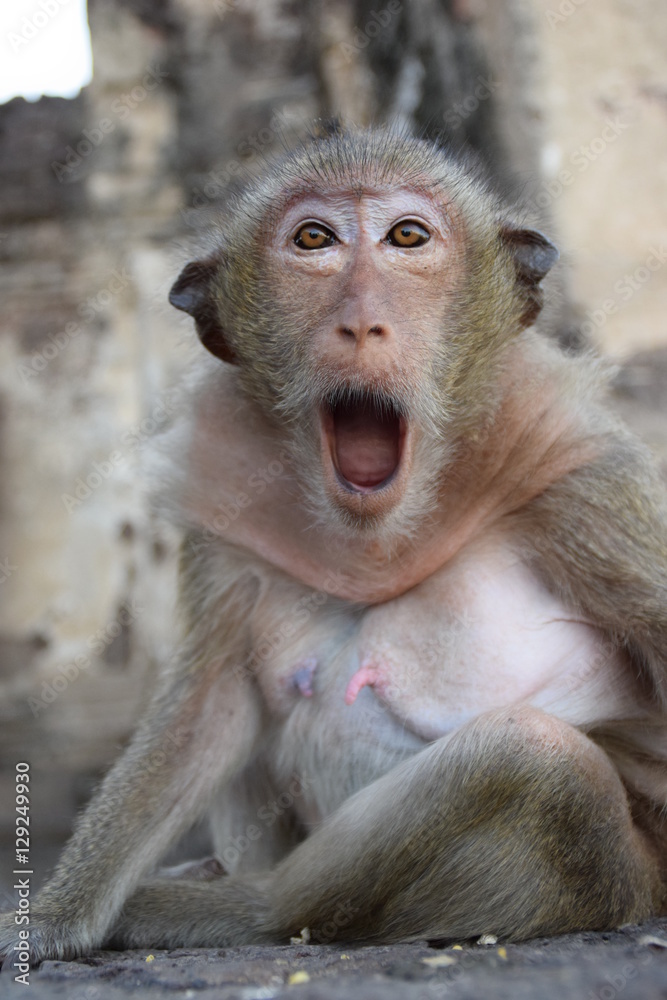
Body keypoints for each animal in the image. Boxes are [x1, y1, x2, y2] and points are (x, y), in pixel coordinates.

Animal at [1, 127, 666, 966]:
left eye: (406, 238)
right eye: (313, 240)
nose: (359, 324)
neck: (381, 538)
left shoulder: (584, 483)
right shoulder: (222, 531)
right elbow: (208, 709)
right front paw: (58, 914)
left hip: (593, 879)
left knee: (535, 761)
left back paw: (237, 909)